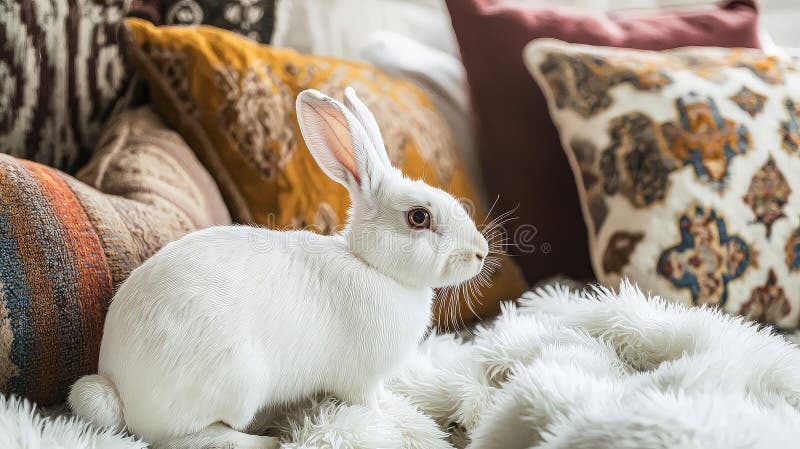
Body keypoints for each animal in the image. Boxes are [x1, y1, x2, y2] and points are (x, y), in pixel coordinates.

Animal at [68, 87, 489, 448]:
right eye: (419, 217)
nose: (481, 252)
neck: (372, 266)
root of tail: (118, 388)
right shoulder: (361, 380)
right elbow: (371, 405)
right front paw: (393, 421)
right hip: (235, 382)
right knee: (189, 438)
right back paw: (267, 439)